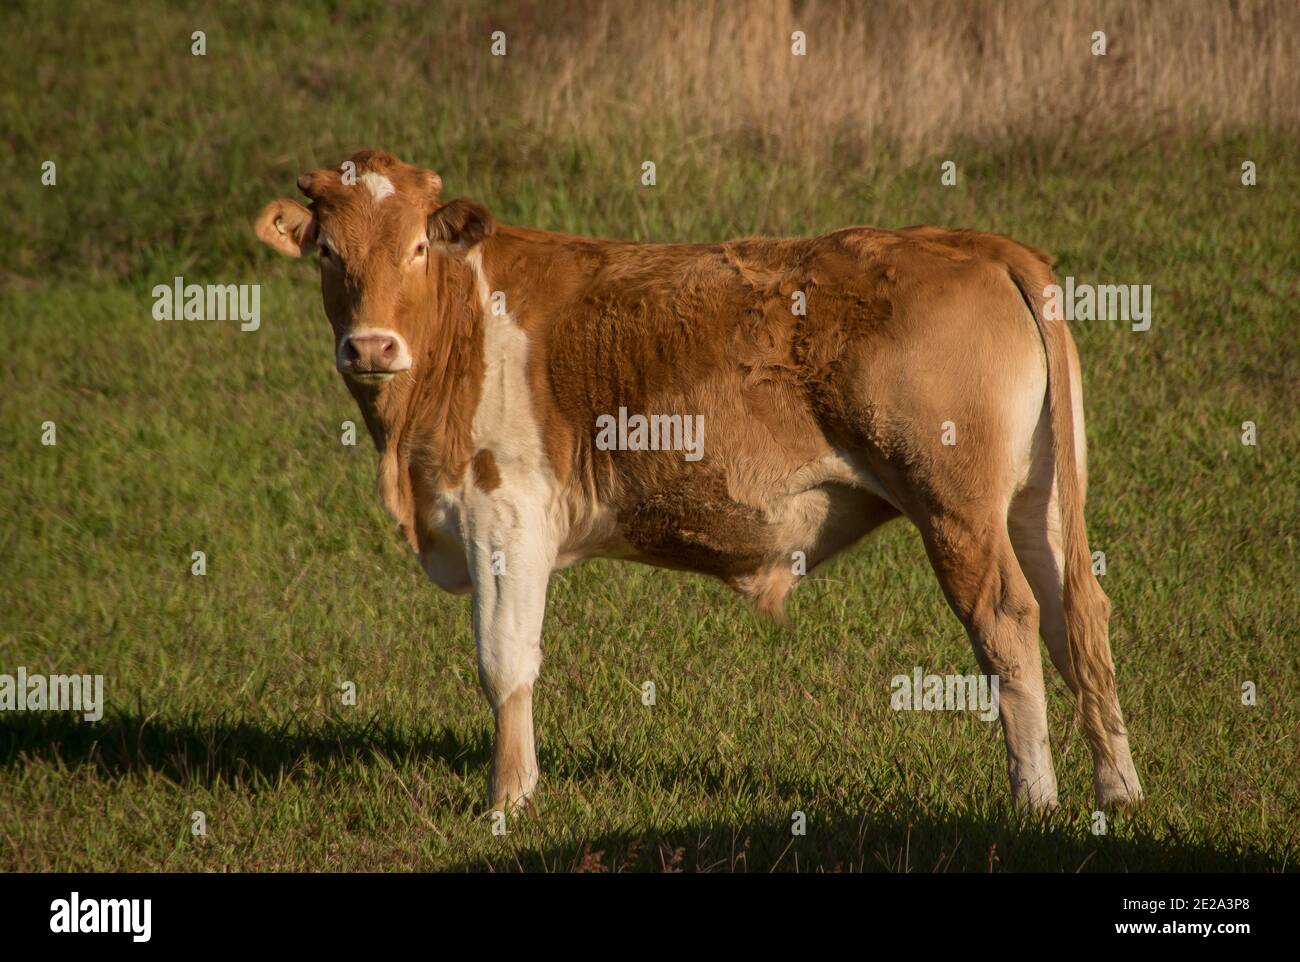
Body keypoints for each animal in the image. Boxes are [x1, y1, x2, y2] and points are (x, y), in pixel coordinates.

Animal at [255, 149, 1142, 814]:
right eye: (329, 253)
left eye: (415, 248)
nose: (372, 346)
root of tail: (976, 243)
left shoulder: (502, 514)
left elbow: (504, 661)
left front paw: (508, 802)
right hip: (1037, 502)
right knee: (1077, 616)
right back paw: (1118, 792)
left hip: (956, 509)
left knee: (1009, 622)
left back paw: (1036, 800)